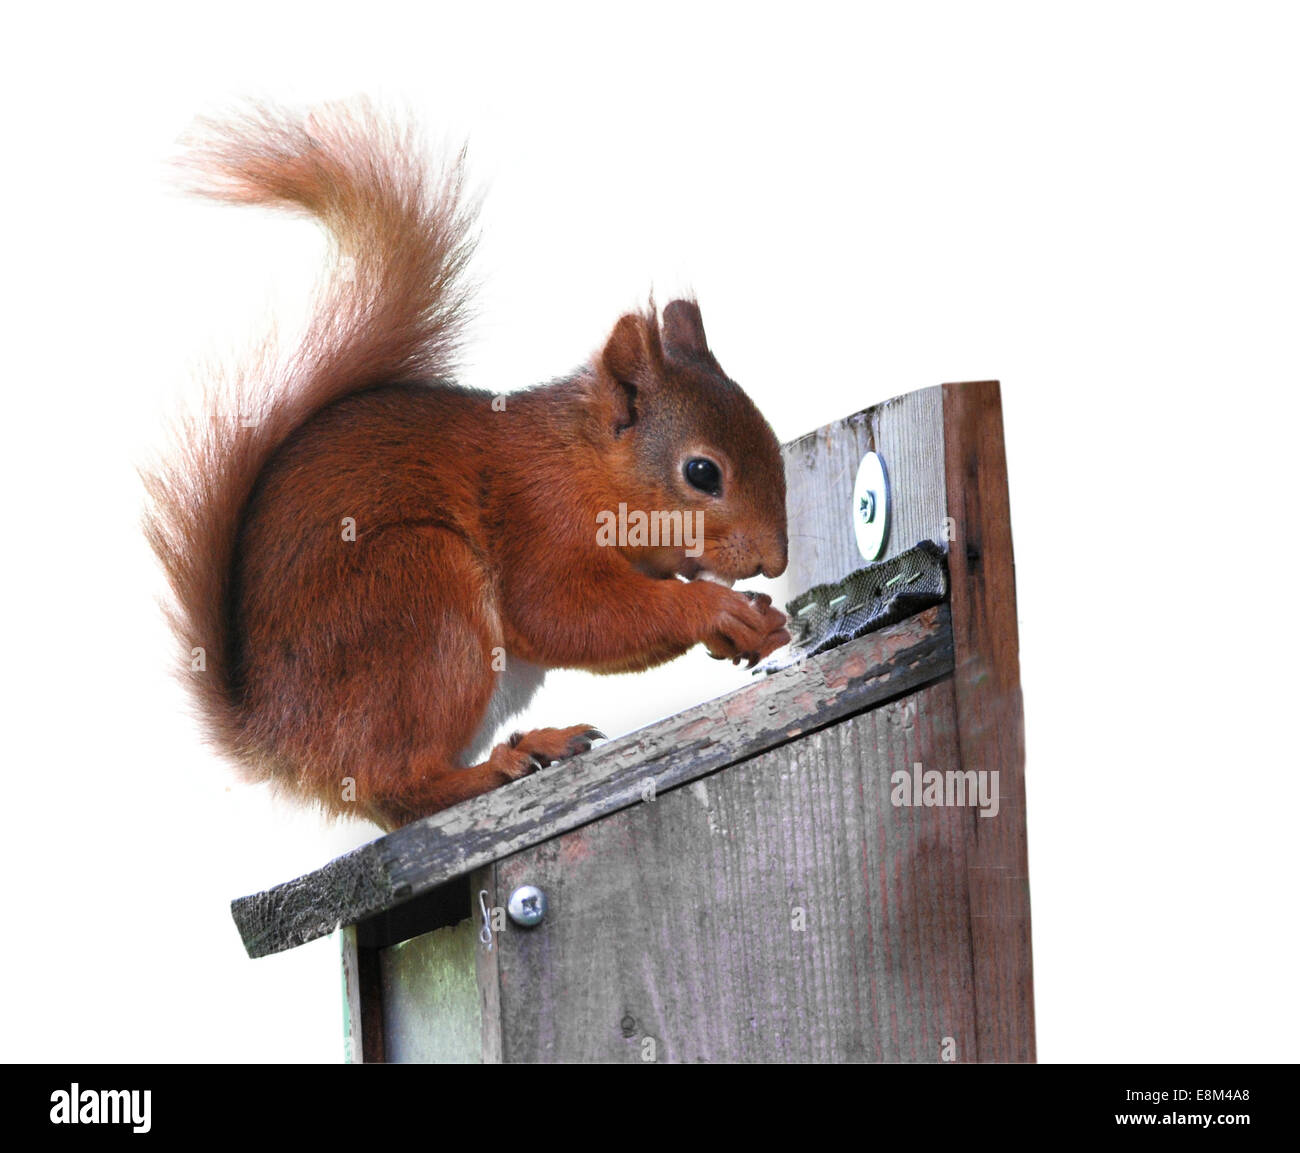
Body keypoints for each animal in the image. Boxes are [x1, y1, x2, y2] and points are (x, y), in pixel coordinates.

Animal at [144, 99, 790, 830]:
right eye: (703, 473)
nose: (774, 561)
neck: (584, 465)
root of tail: (276, 738)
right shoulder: (537, 519)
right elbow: (561, 613)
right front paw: (713, 608)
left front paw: (758, 622)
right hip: (419, 597)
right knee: (399, 787)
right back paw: (510, 760)